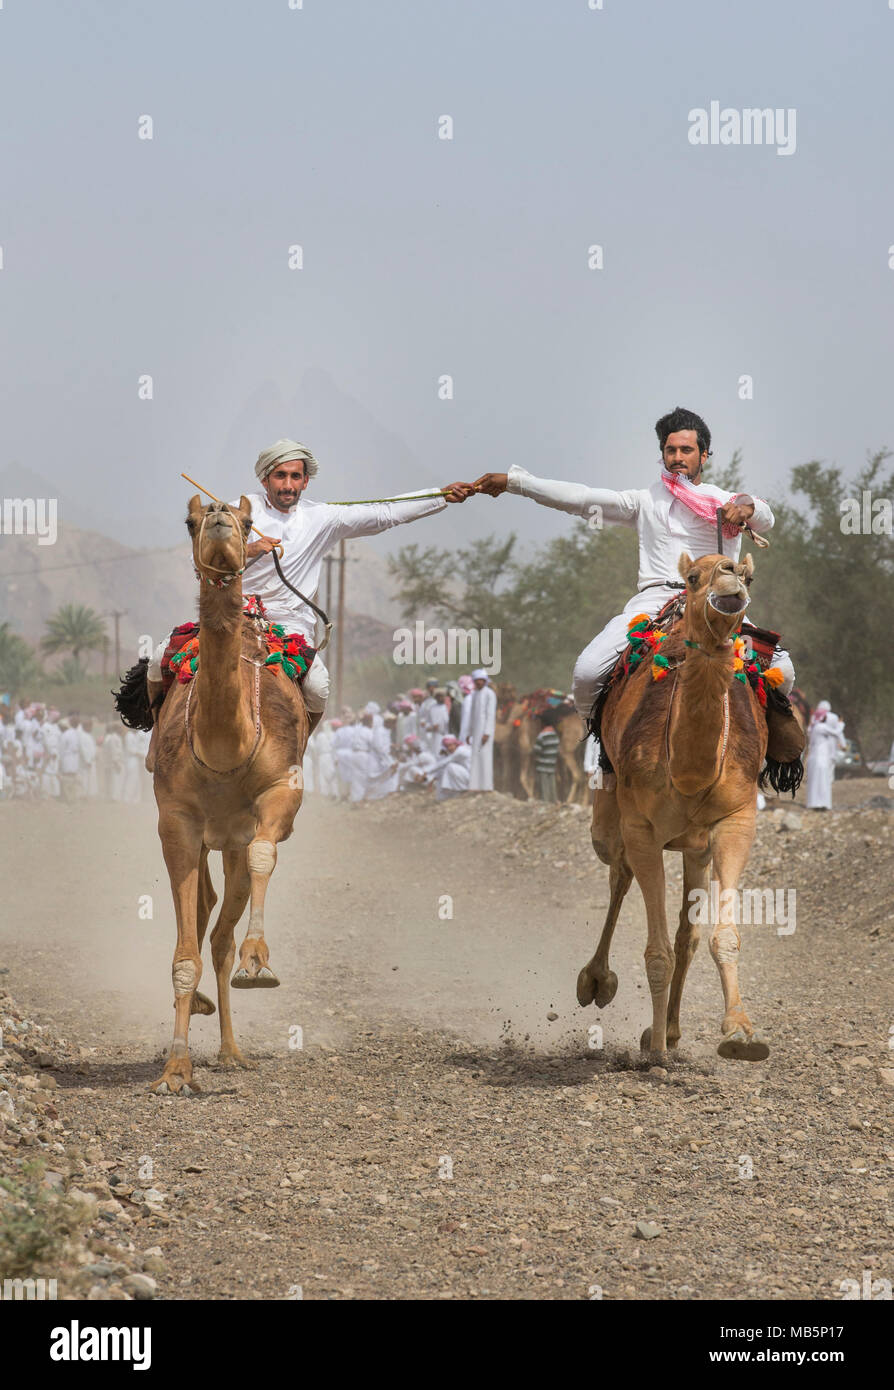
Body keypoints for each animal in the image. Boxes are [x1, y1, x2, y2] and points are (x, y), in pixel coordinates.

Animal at [149, 496, 307, 1095]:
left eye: (247, 522)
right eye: (190, 521)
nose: (218, 512)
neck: (222, 746)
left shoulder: (282, 792)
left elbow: (264, 853)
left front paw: (257, 959)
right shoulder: (175, 821)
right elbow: (182, 954)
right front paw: (175, 1070)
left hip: (232, 840)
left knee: (221, 930)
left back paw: (233, 1050)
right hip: (202, 842)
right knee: (204, 918)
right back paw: (202, 1016)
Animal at [577, 550, 773, 1066]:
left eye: (748, 576)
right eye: (694, 577)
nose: (730, 577)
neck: (690, 772)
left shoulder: (734, 822)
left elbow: (720, 936)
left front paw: (740, 1032)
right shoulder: (642, 828)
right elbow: (656, 951)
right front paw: (658, 1056)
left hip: (694, 846)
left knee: (688, 934)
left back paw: (671, 1028)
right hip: (614, 824)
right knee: (618, 874)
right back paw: (596, 981)